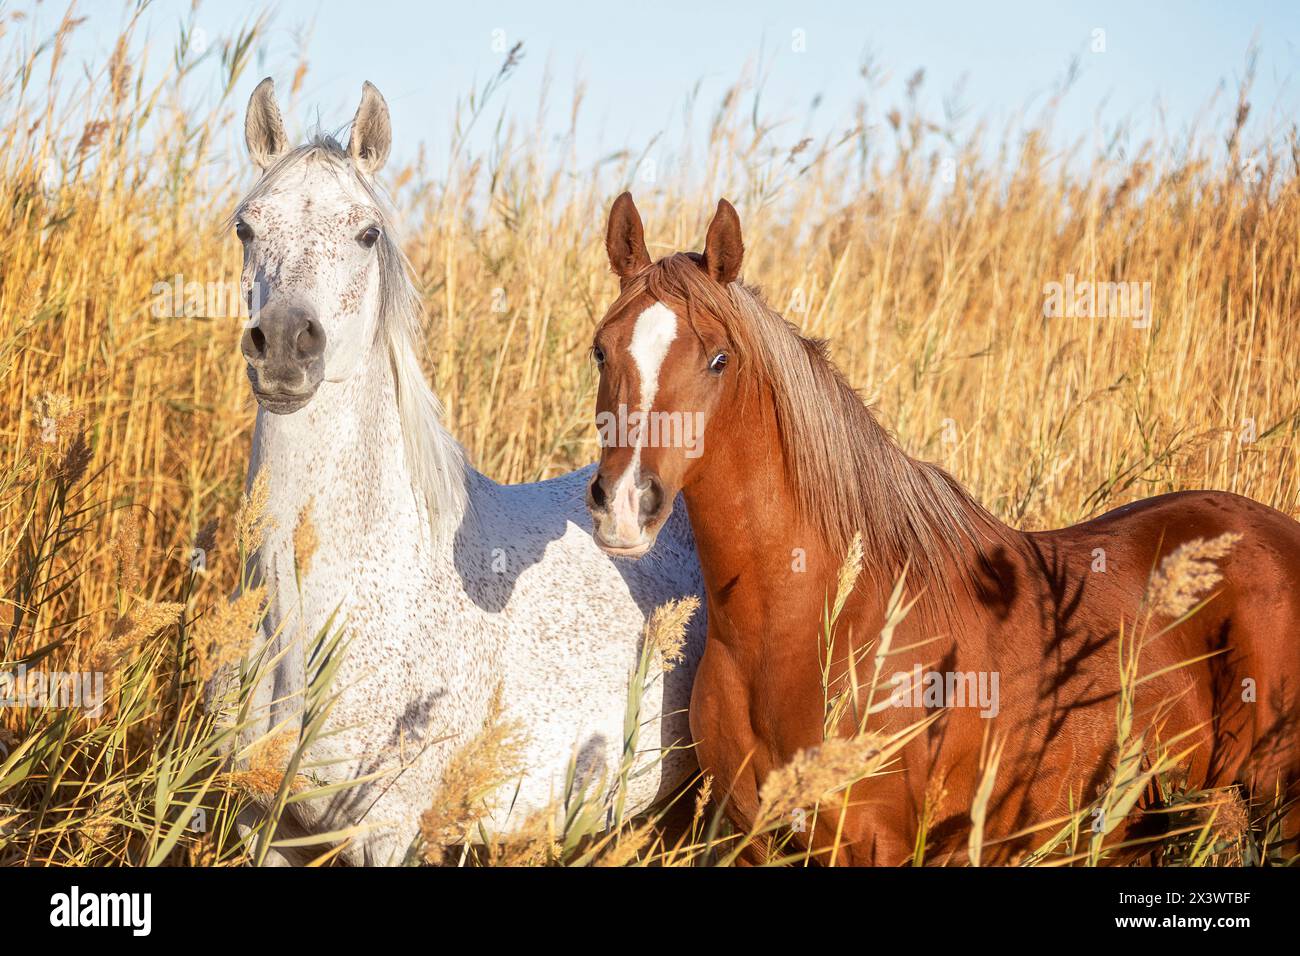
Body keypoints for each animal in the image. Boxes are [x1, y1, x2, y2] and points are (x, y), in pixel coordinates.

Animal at [585, 192, 1300, 865]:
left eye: (718, 359)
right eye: (600, 350)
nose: (624, 502)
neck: (820, 619)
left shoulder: (873, 846)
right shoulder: (750, 840)